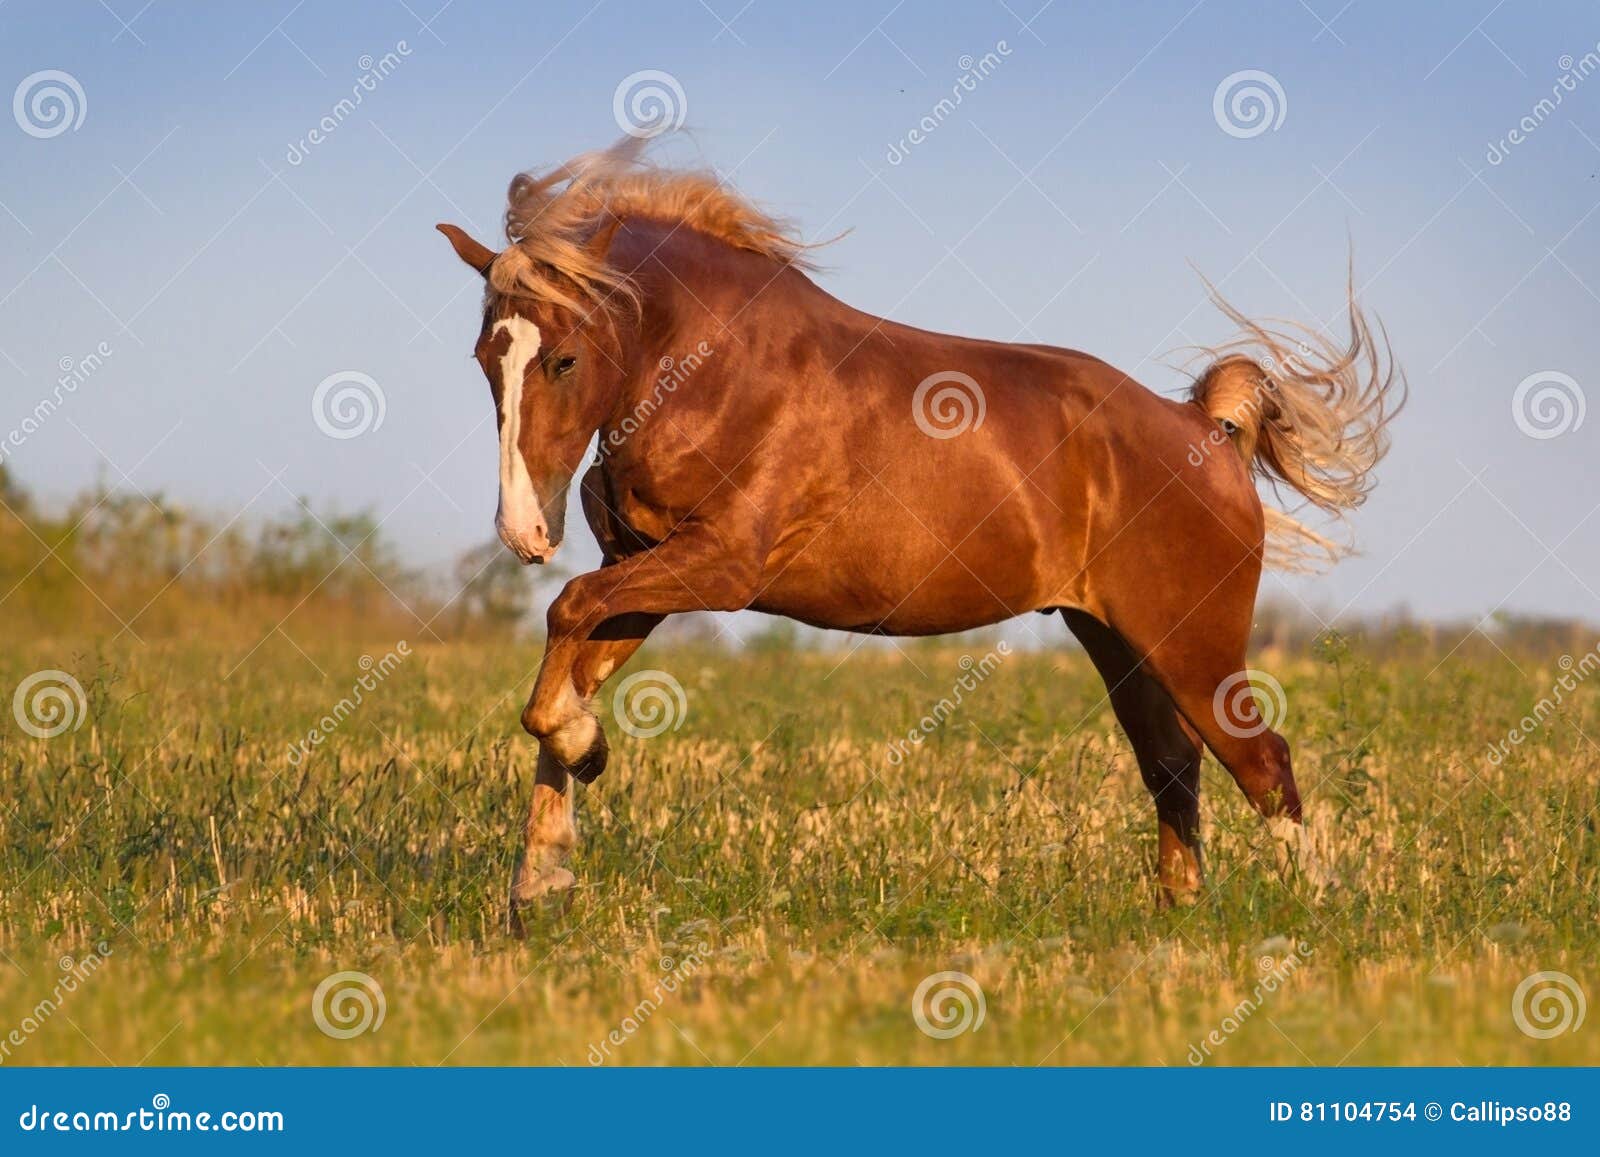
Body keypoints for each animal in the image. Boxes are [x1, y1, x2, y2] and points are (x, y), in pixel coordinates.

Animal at [436, 137, 1402, 913]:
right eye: (486, 355)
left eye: (564, 359)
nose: (523, 531)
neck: (712, 370)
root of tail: (1206, 430)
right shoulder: (647, 568)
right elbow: (568, 663)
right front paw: (541, 875)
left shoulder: (721, 565)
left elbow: (566, 614)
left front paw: (574, 779)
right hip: (1117, 639)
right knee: (1174, 765)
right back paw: (1179, 915)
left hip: (1192, 644)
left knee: (1262, 762)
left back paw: (1316, 915)